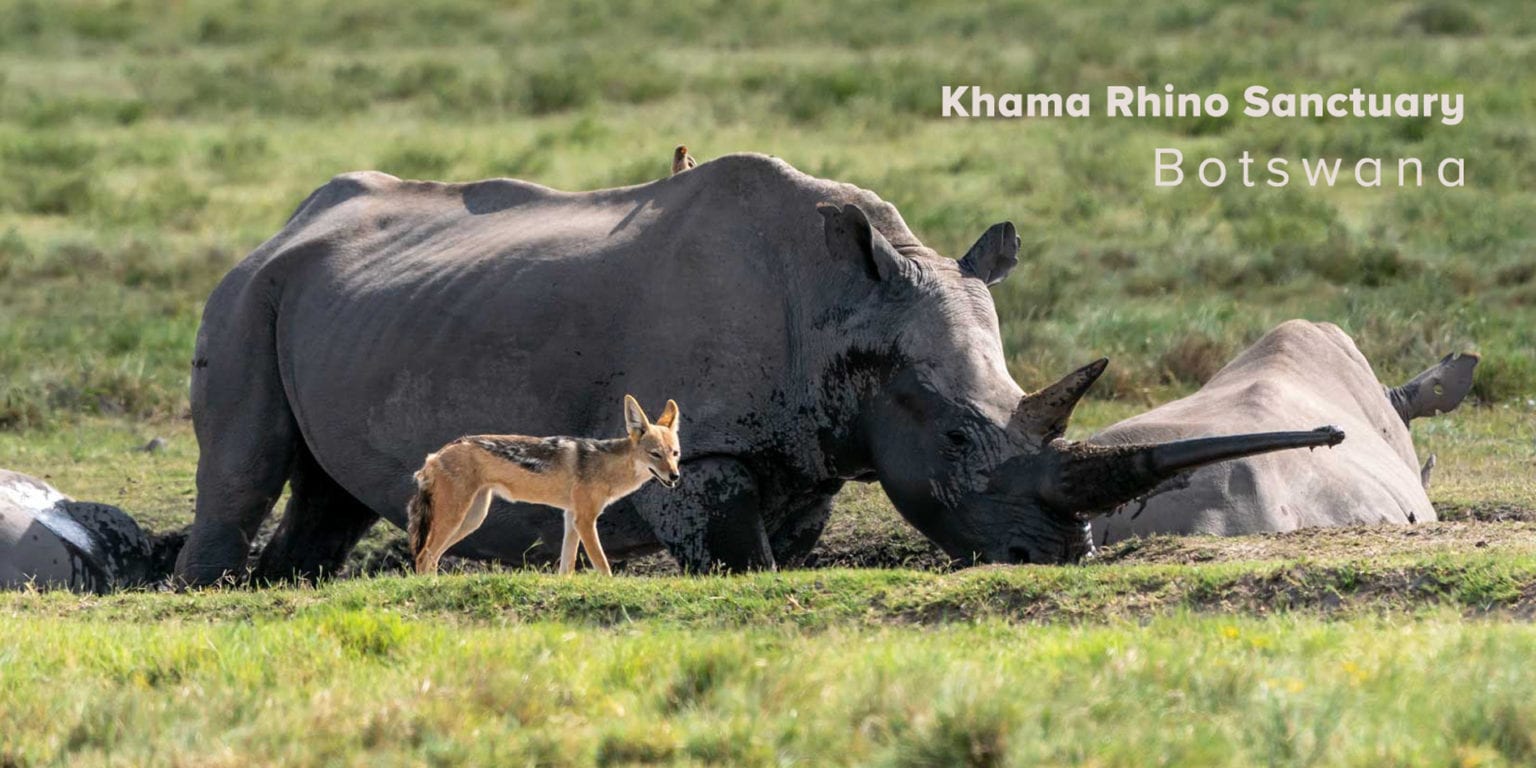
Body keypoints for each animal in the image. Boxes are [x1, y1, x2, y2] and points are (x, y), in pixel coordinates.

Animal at [174, 153, 1342, 585]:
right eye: (961, 438)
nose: (1056, 556)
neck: (847, 310)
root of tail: (286, 225)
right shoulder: (706, 448)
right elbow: (739, 555)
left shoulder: (813, 446)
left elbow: (790, 534)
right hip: (246, 291)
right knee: (243, 463)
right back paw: (209, 588)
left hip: (343, 305)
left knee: (328, 492)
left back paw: (285, 588)